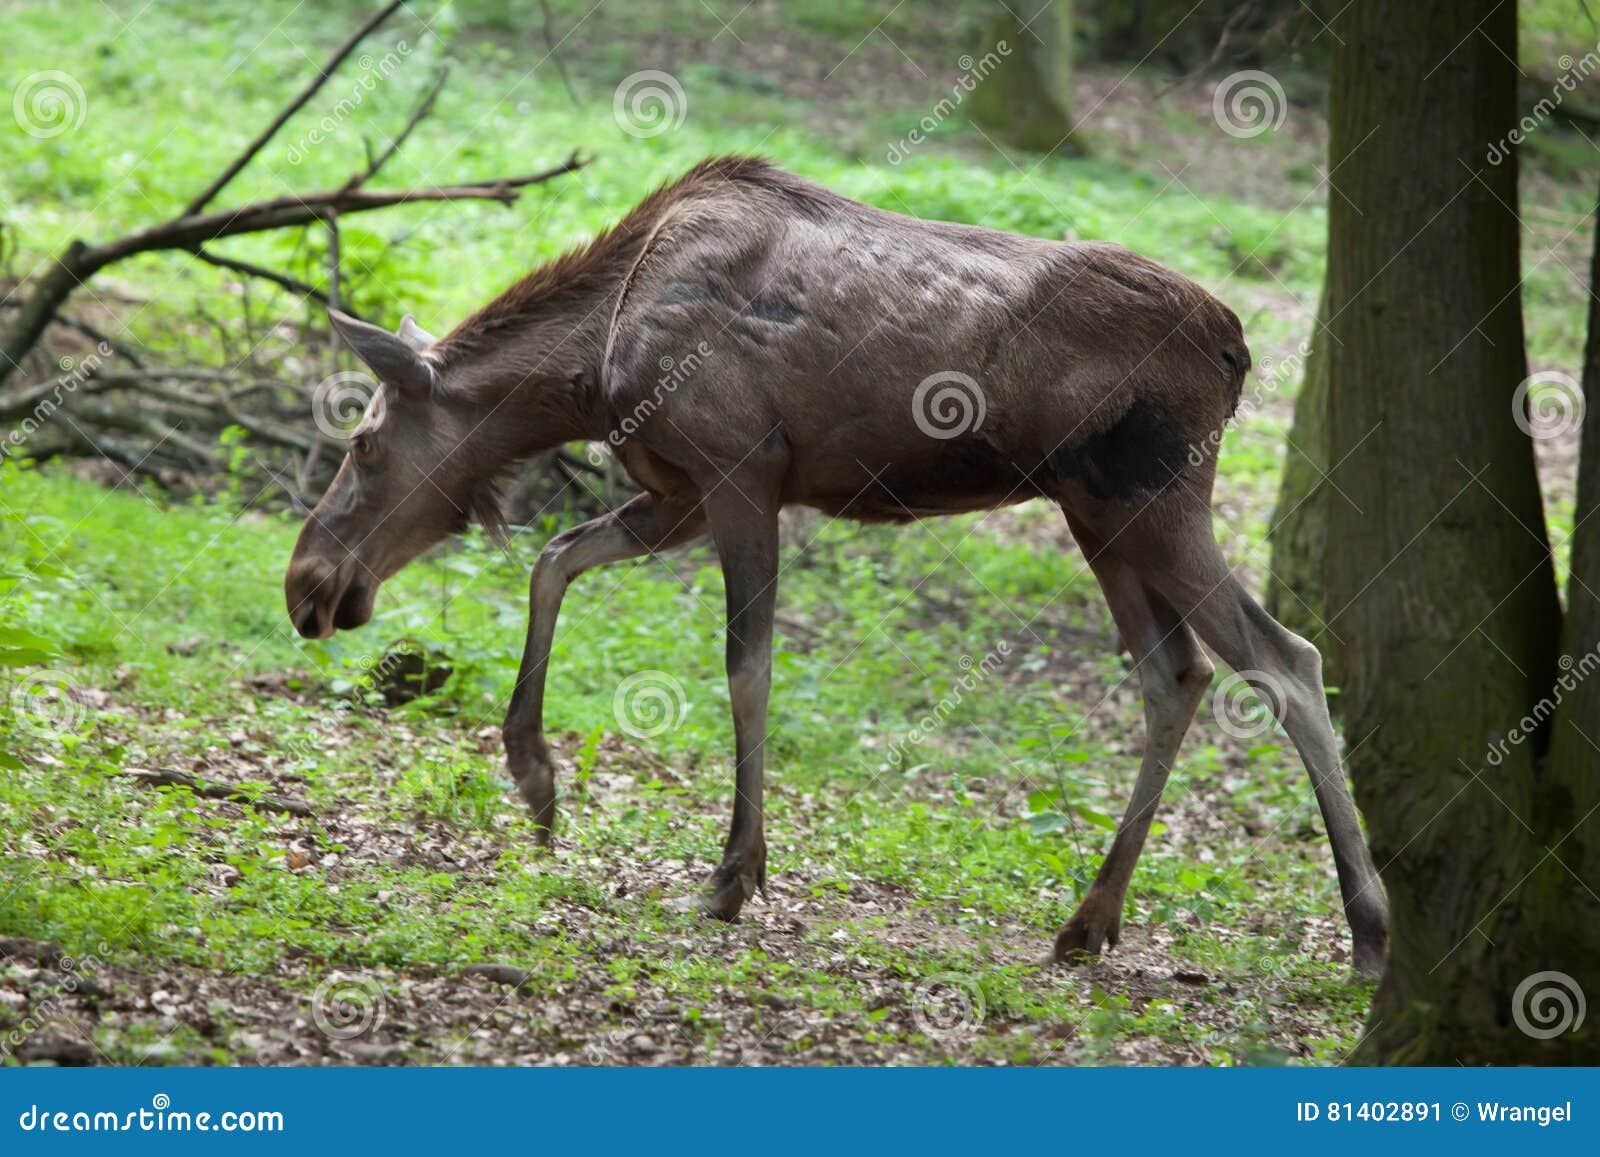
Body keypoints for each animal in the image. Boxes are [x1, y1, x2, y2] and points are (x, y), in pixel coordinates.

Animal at [284, 156, 1388, 974]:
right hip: (1097, 513)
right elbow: (553, 560)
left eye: (363, 442)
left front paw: (734, 872)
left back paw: (1368, 929)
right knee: (1177, 671)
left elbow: (746, 665)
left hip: (1150, 500)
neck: (590, 371)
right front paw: (536, 777)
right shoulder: (677, 491)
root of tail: (1237, 348)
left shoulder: (740, 472)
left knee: (1284, 659)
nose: (305, 585)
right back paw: (1089, 919)